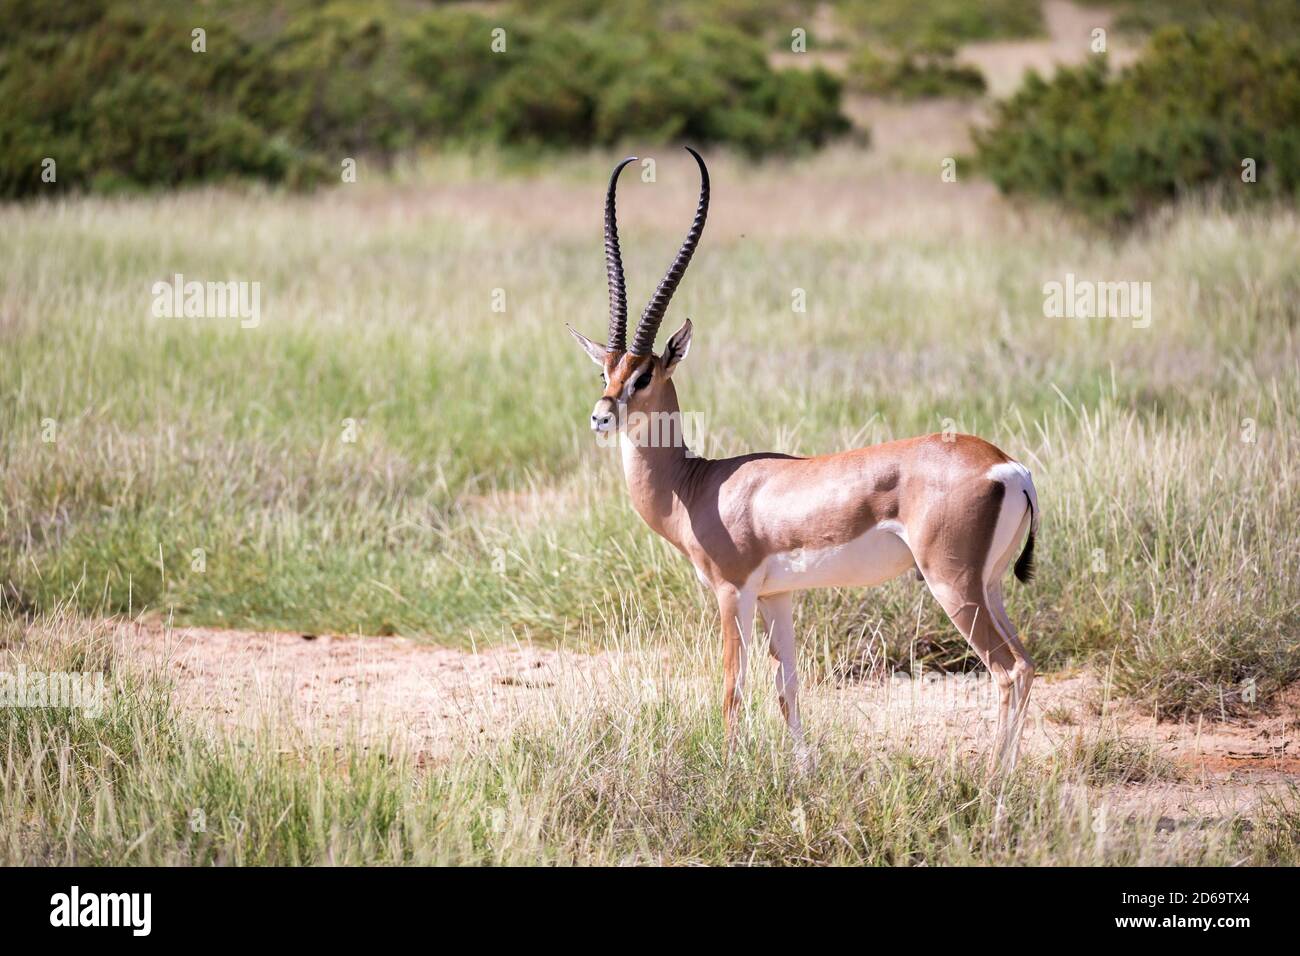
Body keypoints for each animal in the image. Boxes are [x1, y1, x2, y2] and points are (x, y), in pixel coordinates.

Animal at [567, 148, 1040, 773]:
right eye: (606, 370)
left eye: (644, 375)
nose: (601, 416)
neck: (698, 486)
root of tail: (1008, 467)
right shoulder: (779, 598)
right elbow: (787, 686)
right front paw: (802, 772)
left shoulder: (733, 593)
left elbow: (733, 685)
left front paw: (728, 772)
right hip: (991, 587)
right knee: (1026, 662)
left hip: (952, 585)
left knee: (1007, 670)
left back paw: (992, 783)